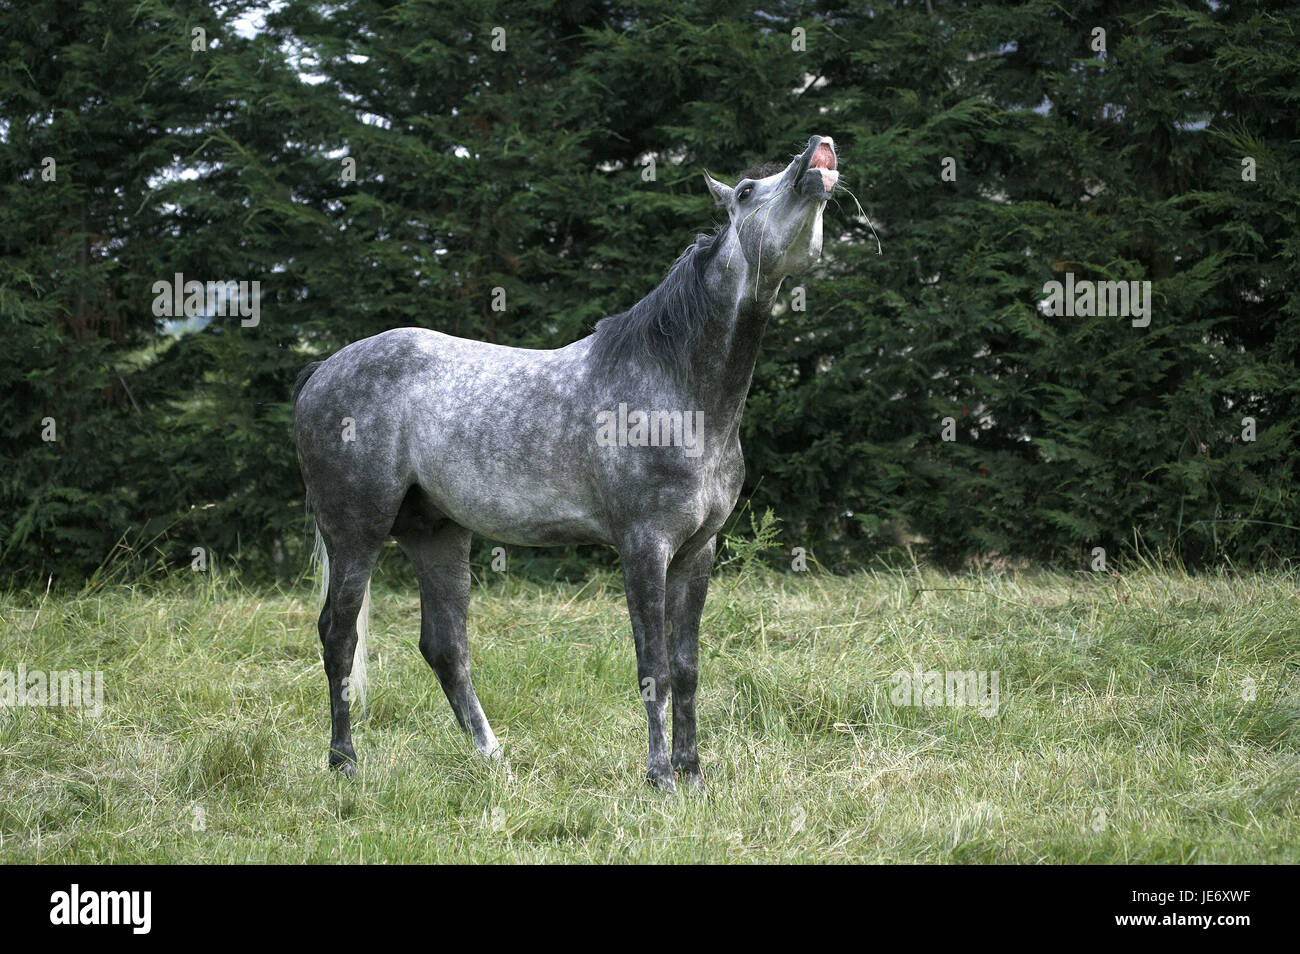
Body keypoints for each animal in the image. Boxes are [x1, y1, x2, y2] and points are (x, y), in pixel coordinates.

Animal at [292, 135, 840, 792]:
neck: (679, 389)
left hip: (438, 535)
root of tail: (321, 370)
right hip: (357, 532)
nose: (819, 151)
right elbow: (653, 666)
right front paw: (660, 777)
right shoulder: (644, 546)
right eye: (746, 191)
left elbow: (685, 668)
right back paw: (344, 763)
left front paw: (694, 775)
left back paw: (494, 760)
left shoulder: (696, 551)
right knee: (338, 635)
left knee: (444, 647)